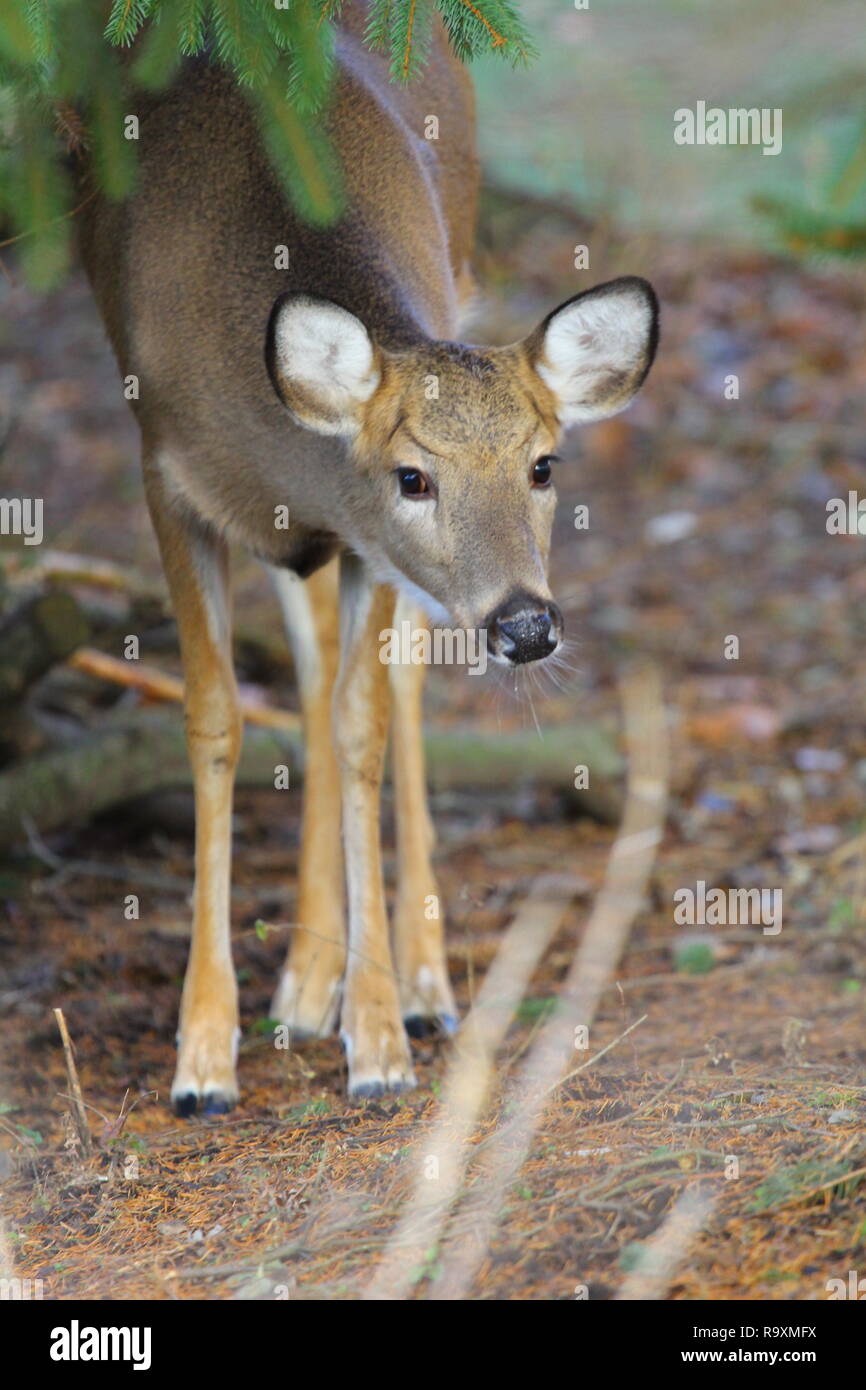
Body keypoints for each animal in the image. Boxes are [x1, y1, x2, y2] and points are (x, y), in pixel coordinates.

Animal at [78, 2, 658, 1113]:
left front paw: (381, 1039)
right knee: (304, 669)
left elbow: (362, 724)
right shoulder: (165, 475)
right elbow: (215, 719)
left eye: (542, 464)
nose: (527, 624)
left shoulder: (365, 547)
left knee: (388, 685)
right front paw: (203, 1056)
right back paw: (303, 983)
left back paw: (418, 983)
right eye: (412, 477)